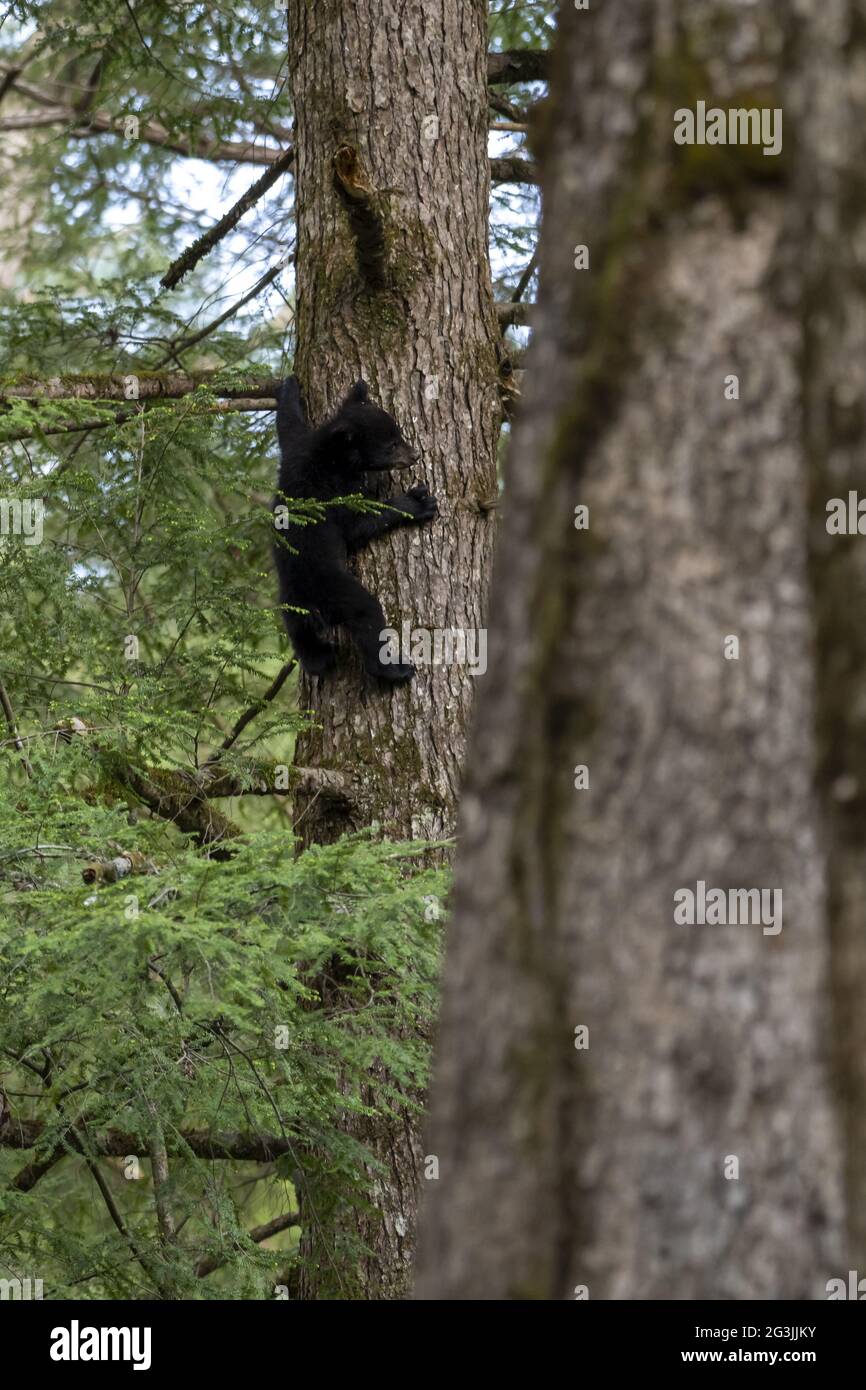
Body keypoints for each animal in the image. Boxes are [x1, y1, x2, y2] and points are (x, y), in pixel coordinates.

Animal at [272, 376, 438, 681]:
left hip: (290, 606)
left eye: (398, 434)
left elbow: (288, 425)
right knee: (367, 616)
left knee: (301, 636)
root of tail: (309, 604)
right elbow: (356, 525)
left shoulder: (296, 449)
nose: (415, 454)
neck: (330, 456)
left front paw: (289, 387)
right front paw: (415, 503)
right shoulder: (330, 492)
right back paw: (394, 669)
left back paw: (320, 659)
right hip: (335, 590)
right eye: (391, 445)